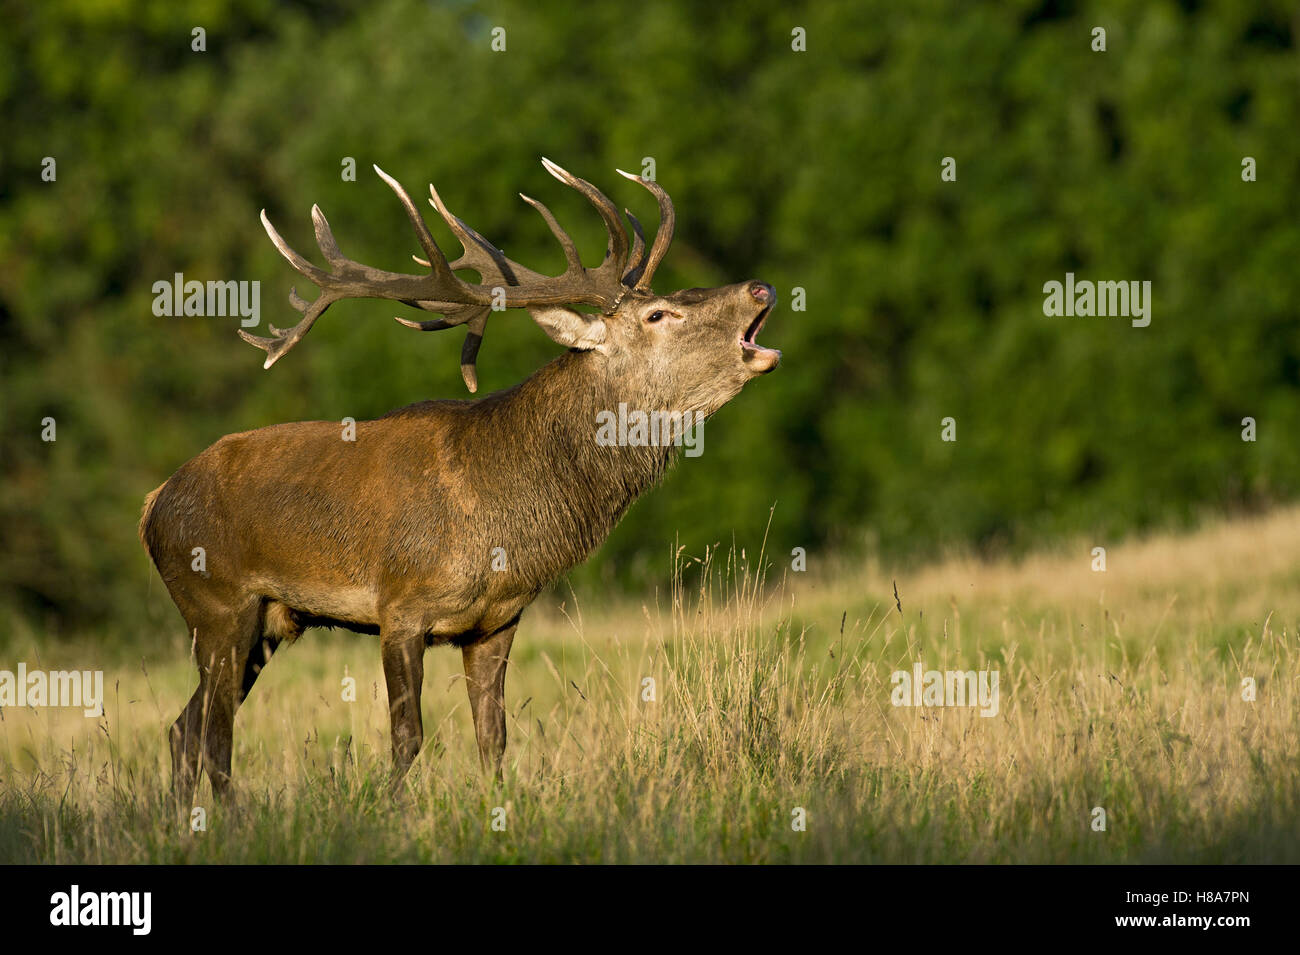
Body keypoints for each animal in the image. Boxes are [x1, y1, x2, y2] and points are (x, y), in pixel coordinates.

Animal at [139, 159, 781, 798]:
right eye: (658, 314)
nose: (761, 286)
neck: (499, 514)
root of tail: (152, 505)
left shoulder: (497, 621)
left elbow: (494, 738)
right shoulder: (399, 606)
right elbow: (408, 737)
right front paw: (388, 809)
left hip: (267, 623)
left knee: (182, 728)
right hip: (217, 603)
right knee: (215, 737)